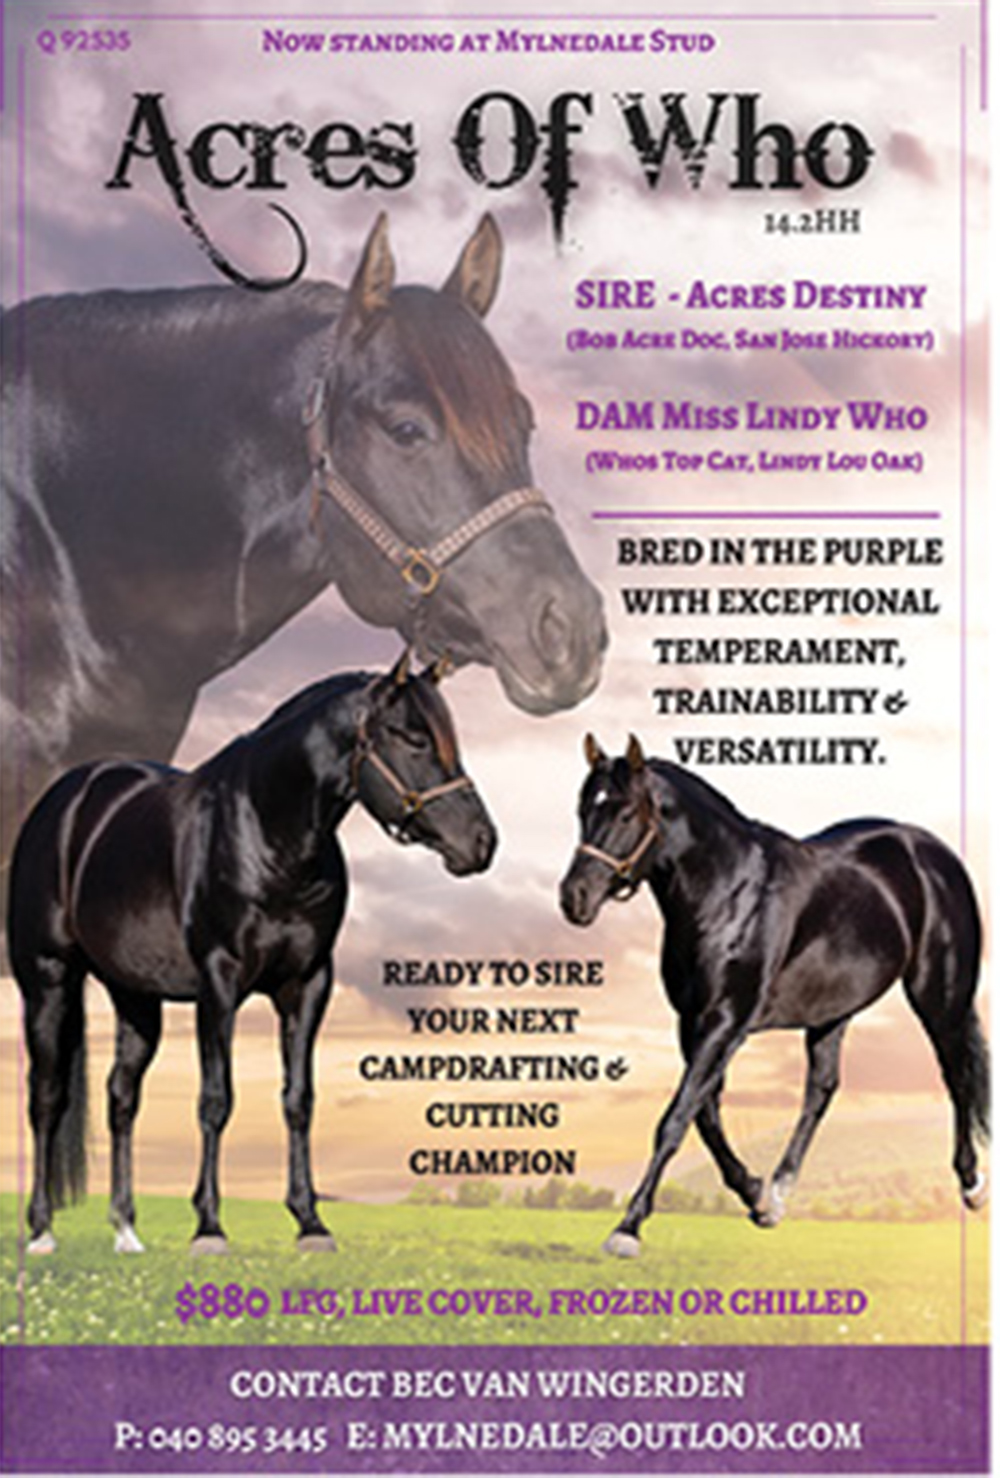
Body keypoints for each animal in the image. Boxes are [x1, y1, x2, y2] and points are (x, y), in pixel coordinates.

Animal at [8, 652, 497, 1255]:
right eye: (413, 738)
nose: (482, 842)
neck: (268, 833)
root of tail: (64, 801)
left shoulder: (308, 984)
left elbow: (299, 1100)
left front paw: (310, 1222)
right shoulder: (218, 983)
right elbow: (216, 1099)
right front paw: (209, 1227)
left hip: (135, 997)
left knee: (121, 1097)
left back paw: (126, 1230)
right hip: (47, 979)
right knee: (46, 1098)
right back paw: (41, 1231)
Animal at [559, 734, 989, 1257]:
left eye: (624, 813)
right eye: (584, 809)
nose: (574, 897)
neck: (730, 892)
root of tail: (935, 853)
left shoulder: (726, 1023)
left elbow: (676, 1118)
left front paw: (628, 1228)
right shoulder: (692, 1022)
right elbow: (705, 1116)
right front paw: (756, 1196)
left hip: (939, 995)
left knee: (956, 1076)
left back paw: (971, 1183)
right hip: (832, 1011)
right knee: (821, 1090)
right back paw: (781, 1190)